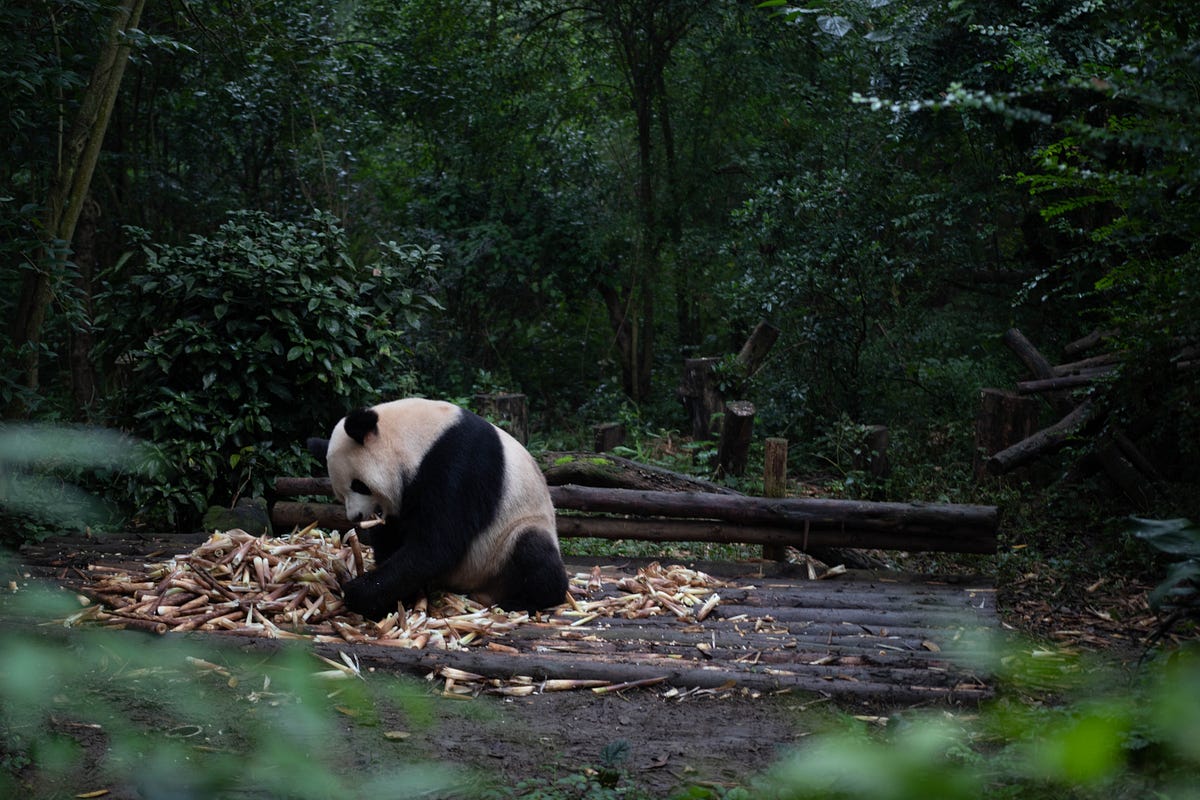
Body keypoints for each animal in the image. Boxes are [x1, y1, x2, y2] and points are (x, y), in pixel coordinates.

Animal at [307, 398, 568, 619]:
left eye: (359, 485)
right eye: (341, 494)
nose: (356, 516)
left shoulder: (460, 463)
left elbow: (437, 544)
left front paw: (358, 592)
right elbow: (394, 536)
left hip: (509, 538)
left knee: (534, 550)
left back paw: (523, 601)